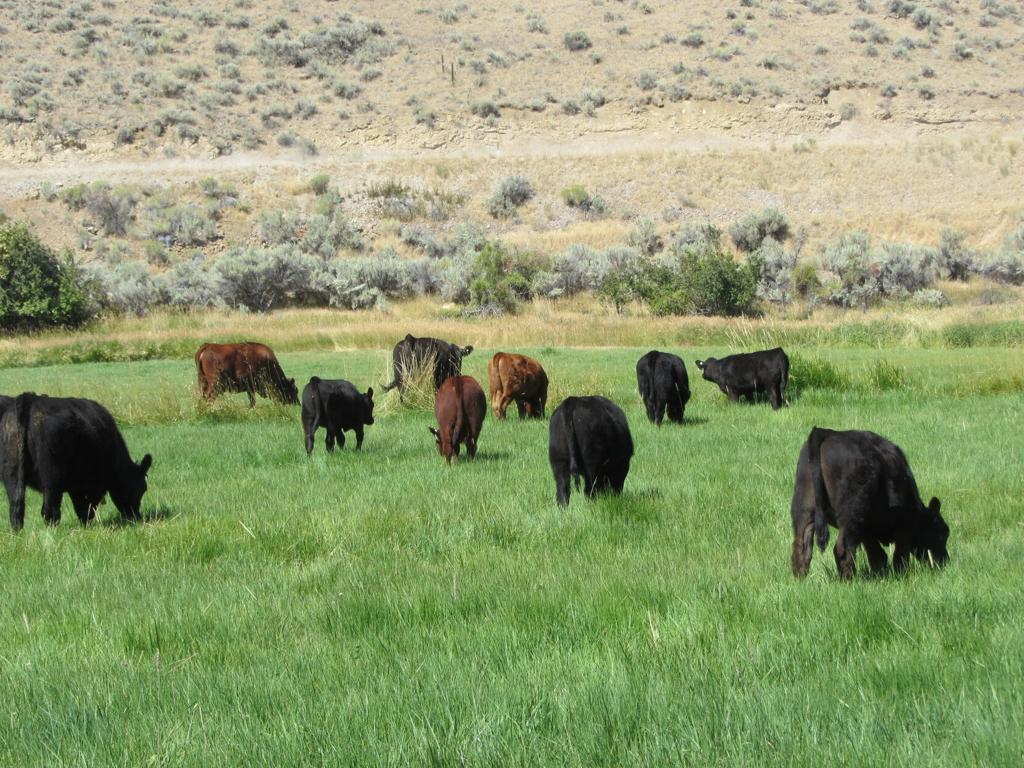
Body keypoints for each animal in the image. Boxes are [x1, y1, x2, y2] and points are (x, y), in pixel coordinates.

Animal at [0, 393, 152, 531]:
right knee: (49, 508)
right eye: (142, 489)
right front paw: (86, 524)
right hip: (52, 478)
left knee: (16, 506)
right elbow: (86, 506)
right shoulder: (92, 483)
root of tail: (30, 399)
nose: (136, 517)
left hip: (12, 474)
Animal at [790, 426, 949, 580]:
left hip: (804, 510)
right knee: (843, 549)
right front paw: (901, 575)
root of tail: (826, 432)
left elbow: (877, 555)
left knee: (801, 548)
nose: (944, 561)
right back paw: (848, 580)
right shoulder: (904, 527)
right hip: (851, 515)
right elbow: (899, 555)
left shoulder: (867, 530)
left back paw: (801, 580)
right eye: (942, 534)